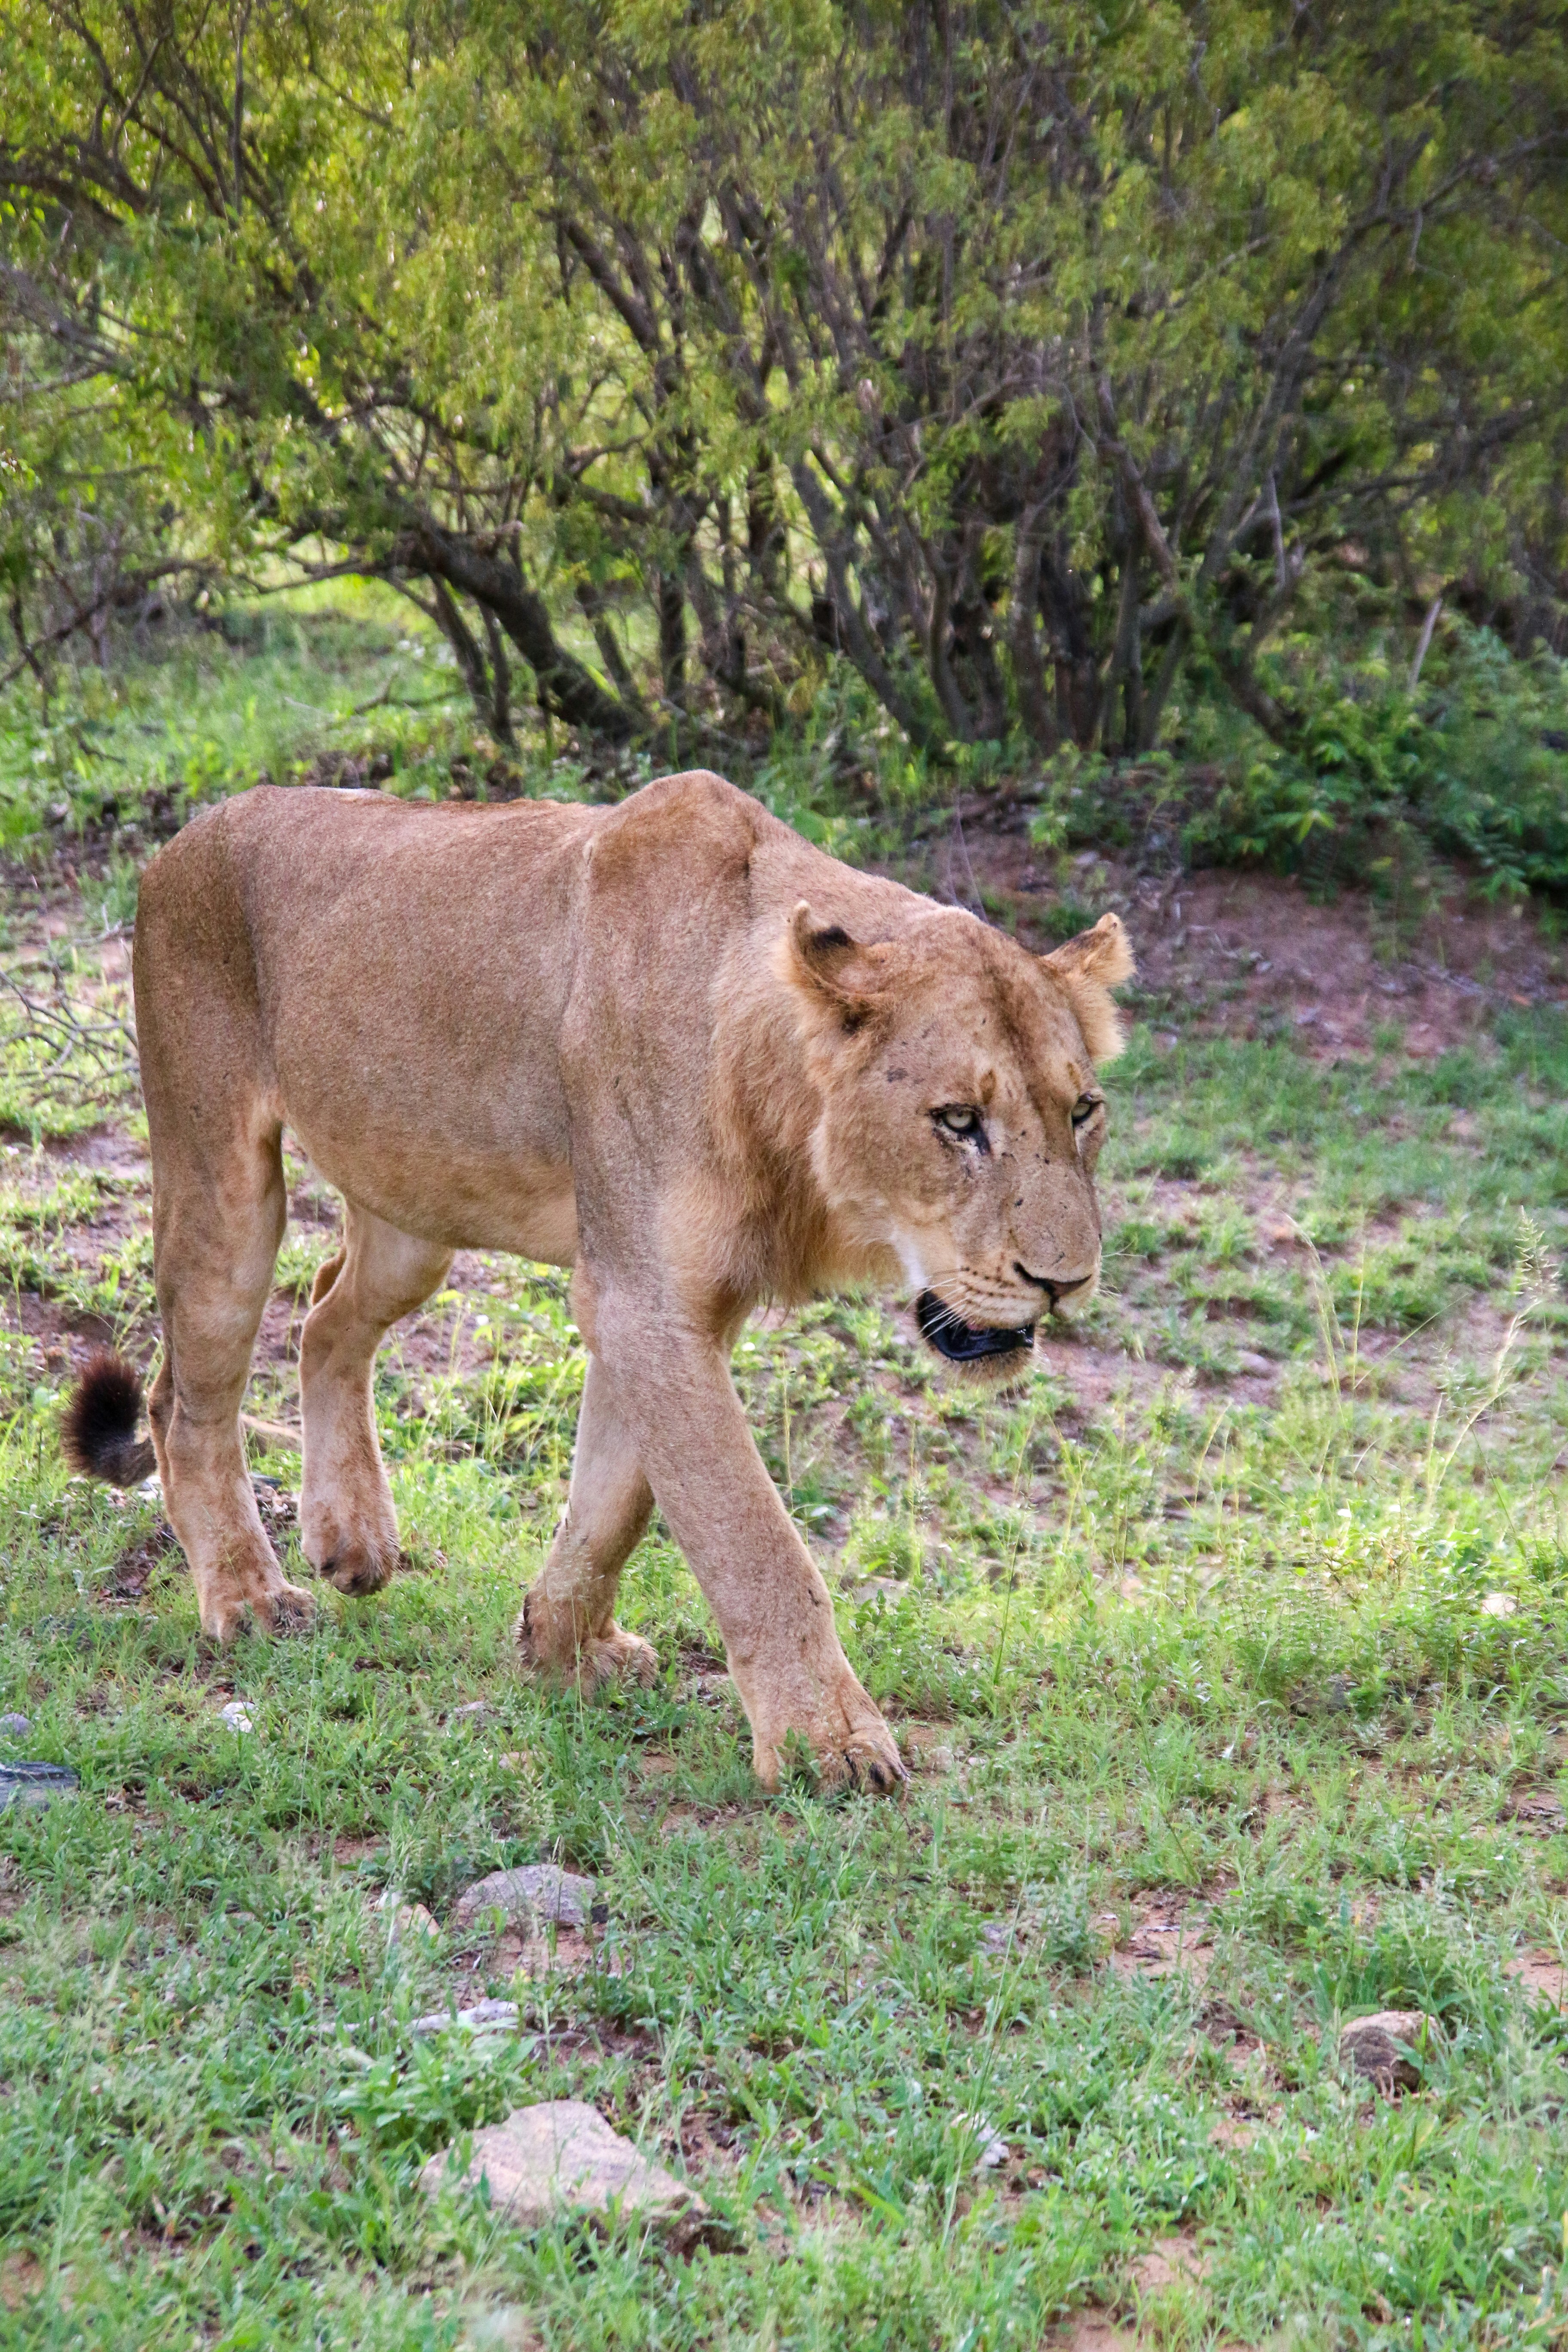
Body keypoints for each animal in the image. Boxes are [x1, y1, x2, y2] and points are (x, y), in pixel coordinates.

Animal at [62, 770, 1133, 1790]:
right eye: (958, 1122)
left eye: (1082, 1111)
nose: (1066, 1280)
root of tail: (187, 836)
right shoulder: (643, 1301)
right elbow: (749, 1535)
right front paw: (829, 1743)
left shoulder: (666, 1303)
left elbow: (618, 1502)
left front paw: (561, 1647)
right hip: (221, 1179)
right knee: (183, 1400)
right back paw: (248, 1597)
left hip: (414, 1212)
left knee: (326, 1319)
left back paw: (353, 1539)